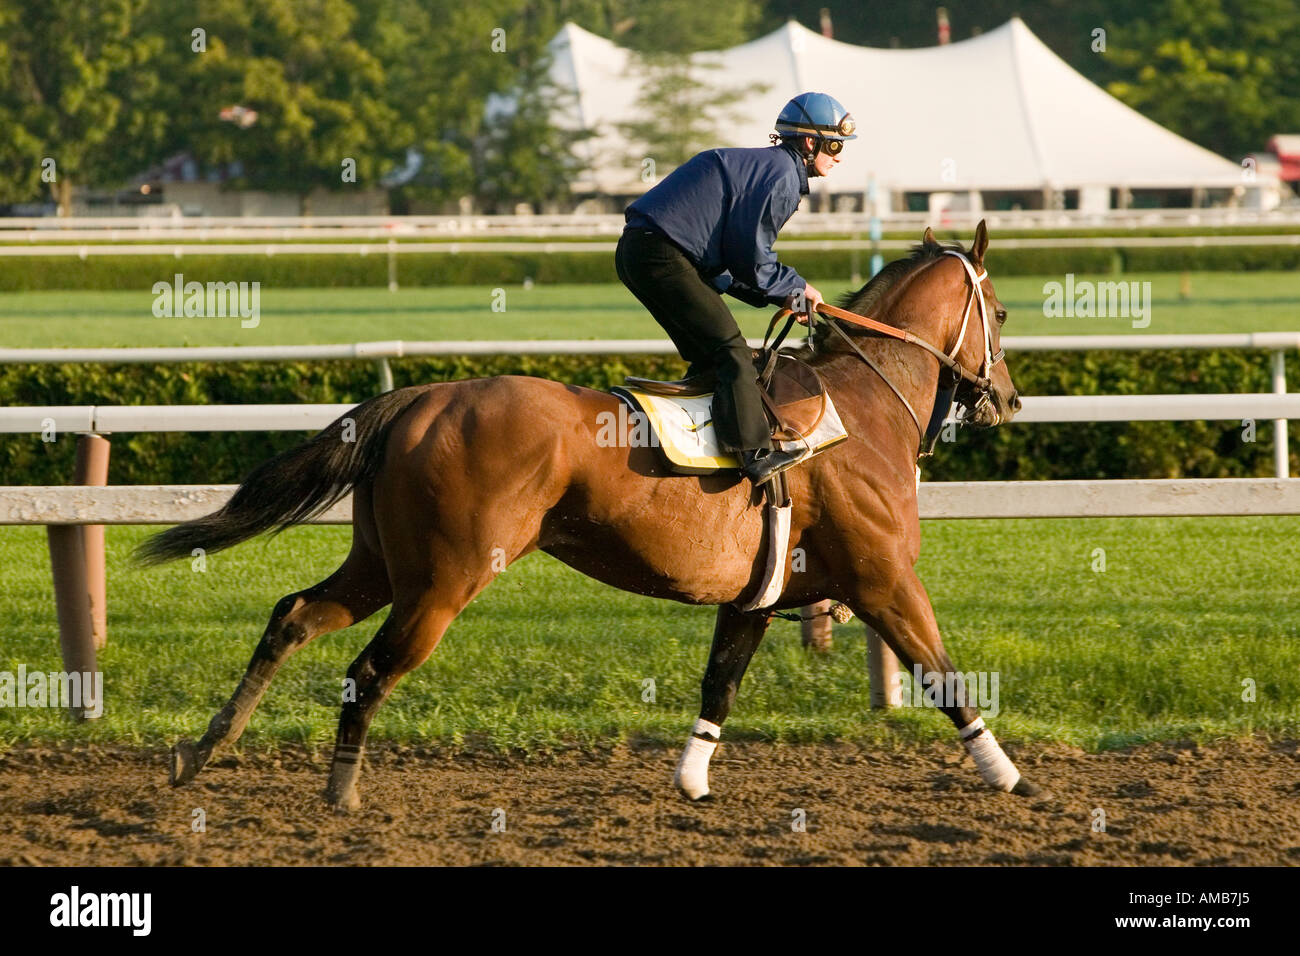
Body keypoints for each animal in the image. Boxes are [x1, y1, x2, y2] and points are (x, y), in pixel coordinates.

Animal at [139, 221, 1041, 810]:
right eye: (1000, 313)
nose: (1007, 399)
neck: (861, 405)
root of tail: (417, 398)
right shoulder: (883, 578)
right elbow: (943, 671)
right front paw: (1010, 775)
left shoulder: (761, 594)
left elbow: (721, 682)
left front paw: (691, 780)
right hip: (443, 580)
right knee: (369, 669)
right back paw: (342, 792)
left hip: (382, 563)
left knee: (293, 616)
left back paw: (205, 750)